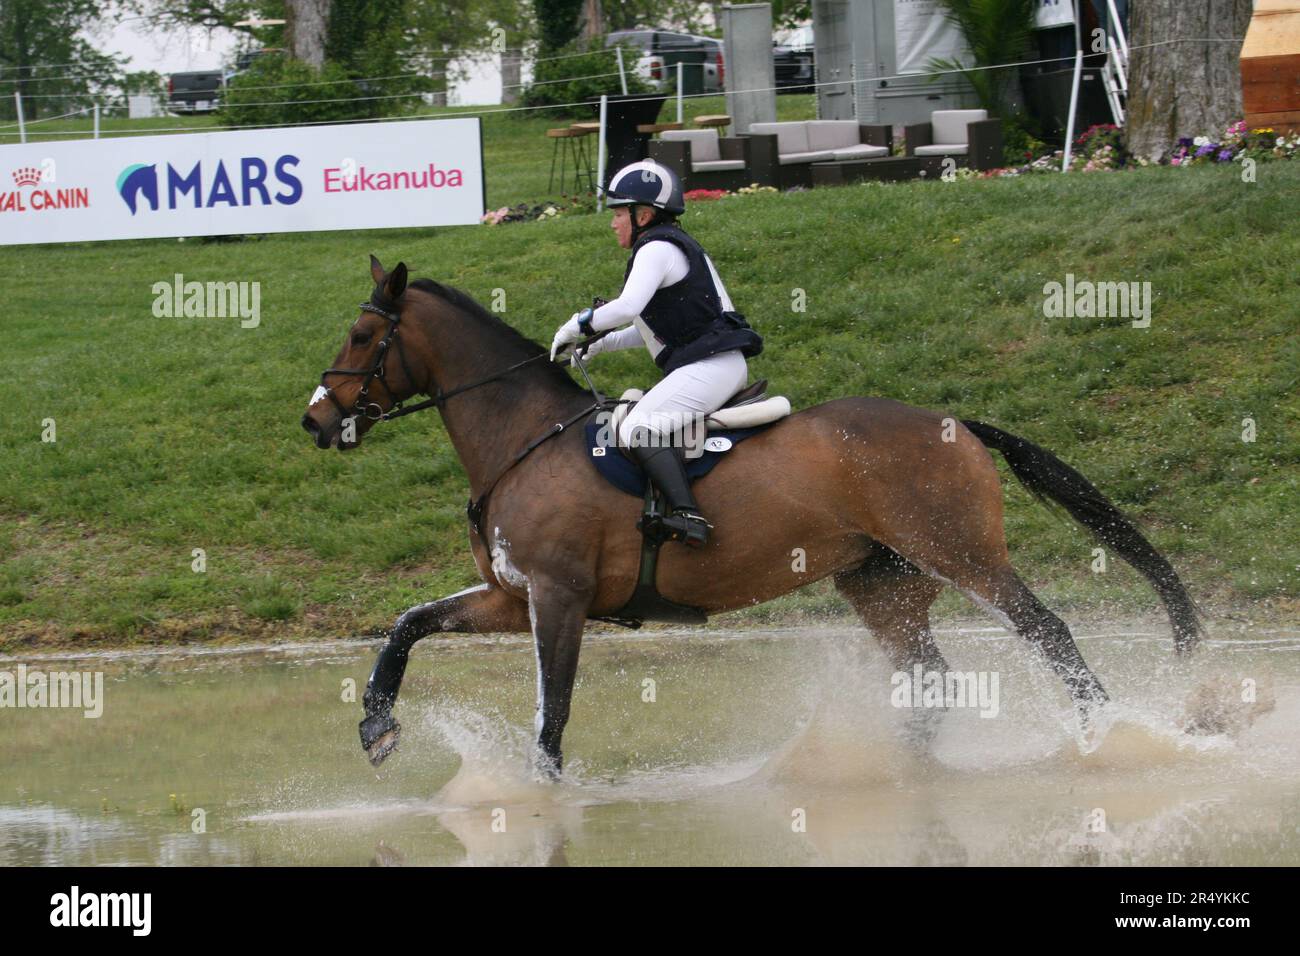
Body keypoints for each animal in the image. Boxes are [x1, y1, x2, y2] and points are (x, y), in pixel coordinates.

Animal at [301, 256, 1202, 776]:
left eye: (361, 336)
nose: (315, 420)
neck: (523, 438)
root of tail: (955, 424)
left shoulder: (558, 599)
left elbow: (551, 712)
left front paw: (547, 795)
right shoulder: (510, 596)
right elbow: (409, 624)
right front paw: (376, 725)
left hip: (962, 555)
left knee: (1046, 630)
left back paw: (1106, 737)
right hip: (880, 583)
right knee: (931, 678)